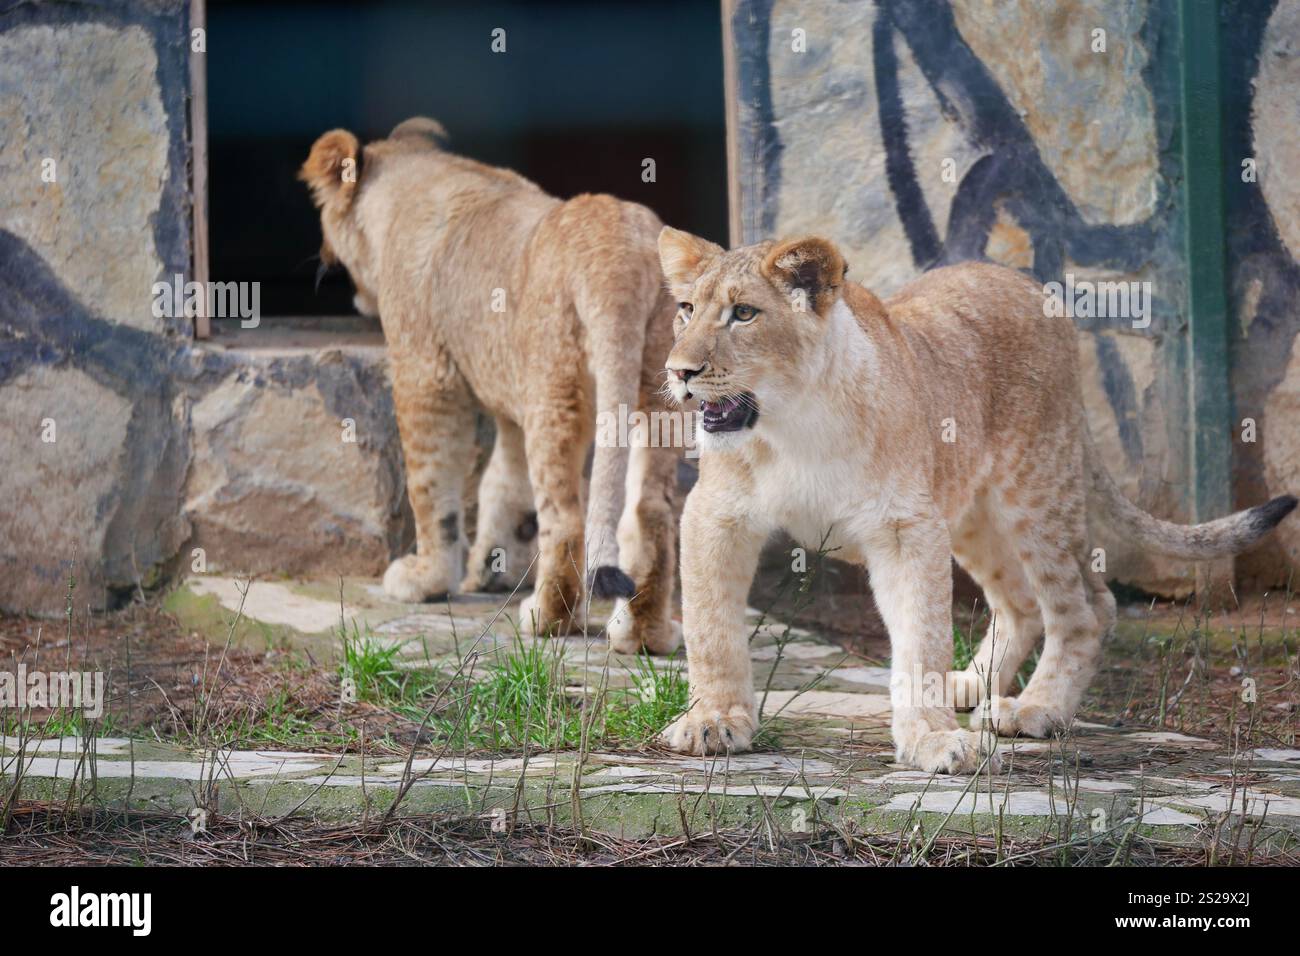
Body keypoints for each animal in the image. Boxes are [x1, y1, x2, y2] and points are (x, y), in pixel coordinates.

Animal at [300, 117, 681, 654]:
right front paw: (490, 568)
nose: (324, 255)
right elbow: (502, 482)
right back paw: (645, 634)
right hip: (658, 385)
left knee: (565, 518)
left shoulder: (426, 372)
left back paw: (547, 618)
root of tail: (617, 257)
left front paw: (427, 578)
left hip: (553, 390)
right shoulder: (508, 399)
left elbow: (430, 483)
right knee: (652, 511)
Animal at [656, 227, 1296, 773]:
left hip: (1036, 493)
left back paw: (1034, 708)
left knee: (1088, 606)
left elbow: (922, 635)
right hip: (970, 516)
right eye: (685, 309)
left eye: (743, 313)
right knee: (1022, 604)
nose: (678, 370)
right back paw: (969, 684)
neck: (793, 422)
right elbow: (712, 630)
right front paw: (713, 722)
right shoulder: (716, 514)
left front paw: (931, 738)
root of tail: (1027, 284)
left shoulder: (906, 528)